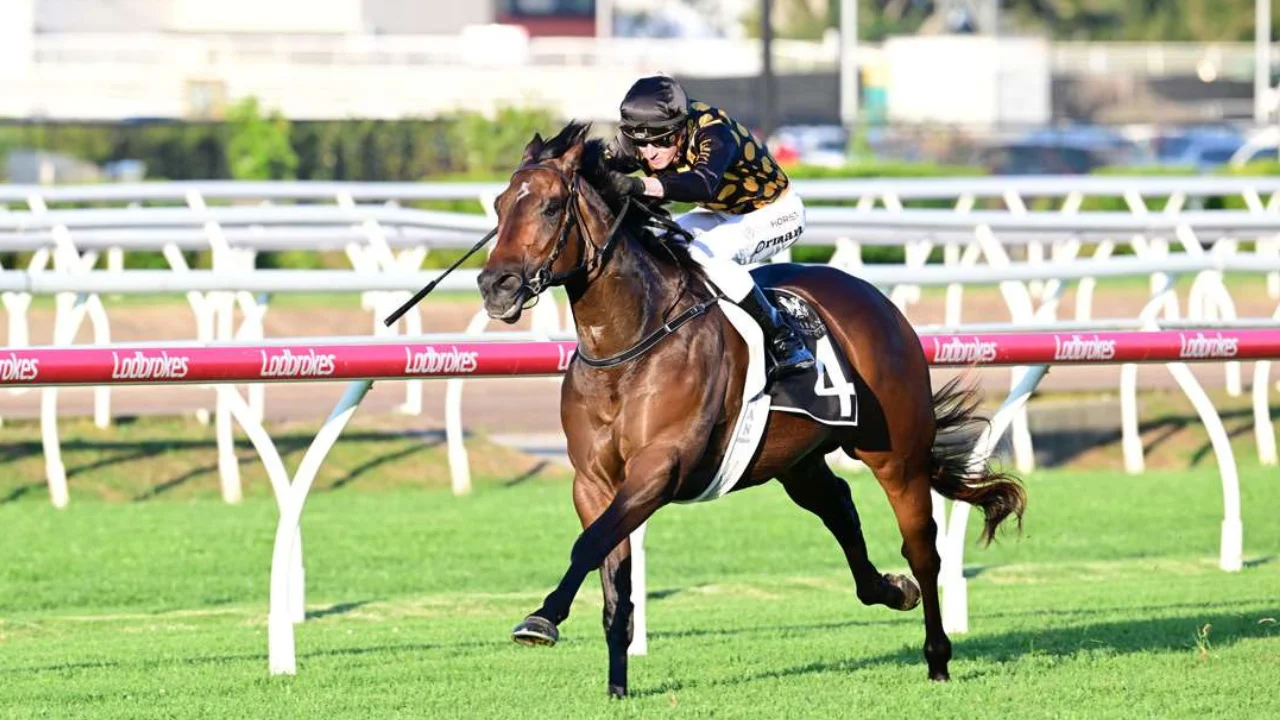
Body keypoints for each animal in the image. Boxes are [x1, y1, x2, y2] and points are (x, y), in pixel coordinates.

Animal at [475, 120, 1026, 698]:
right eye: (499, 205)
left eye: (550, 207)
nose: (496, 286)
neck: (629, 344)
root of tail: (877, 301)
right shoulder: (593, 481)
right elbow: (613, 583)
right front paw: (617, 688)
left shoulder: (661, 468)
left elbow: (588, 544)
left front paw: (542, 618)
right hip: (797, 460)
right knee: (839, 505)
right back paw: (890, 590)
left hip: (896, 454)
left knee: (922, 550)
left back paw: (938, 656)